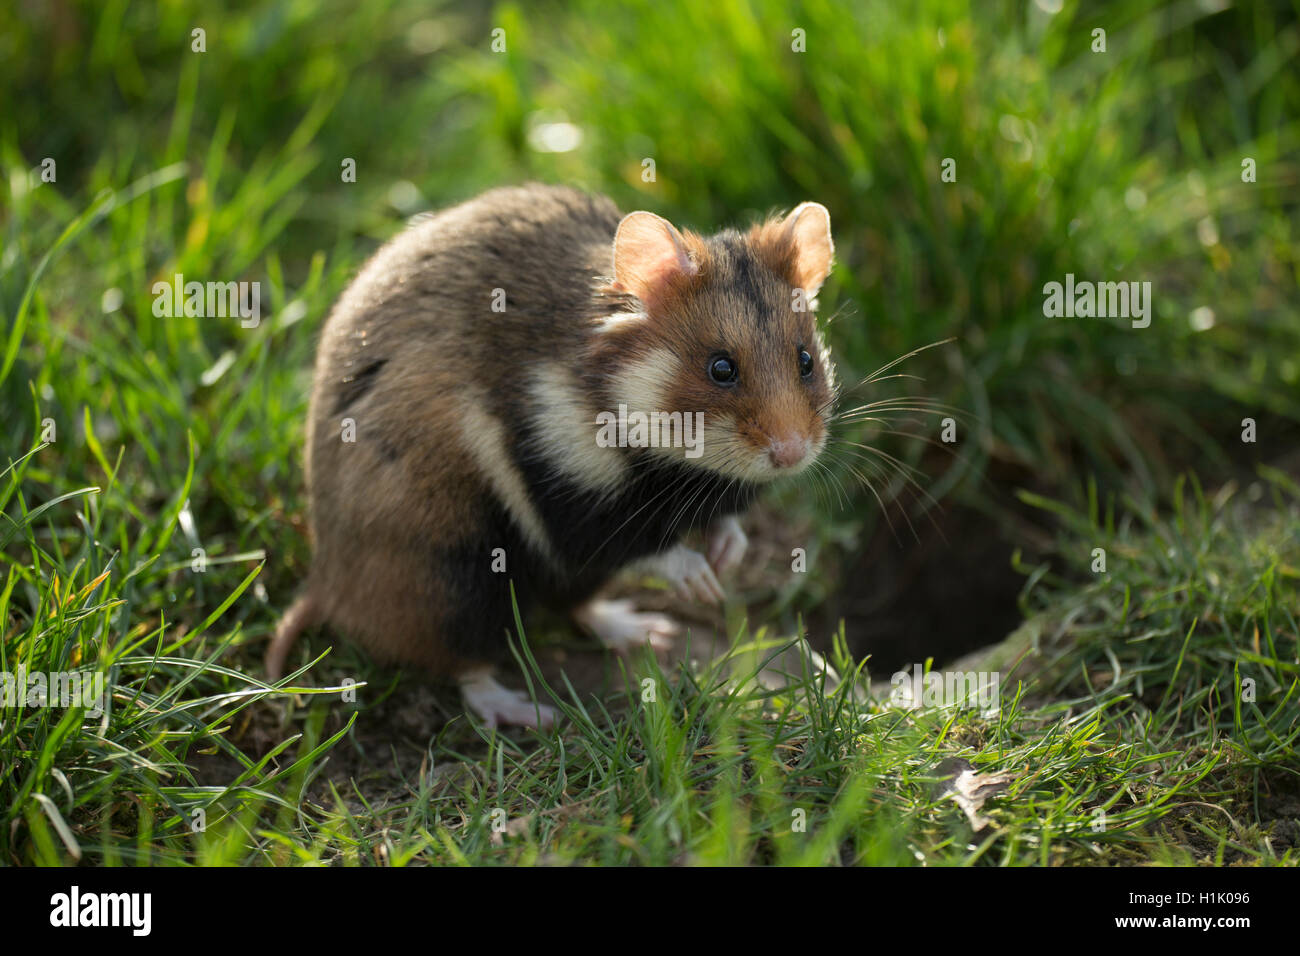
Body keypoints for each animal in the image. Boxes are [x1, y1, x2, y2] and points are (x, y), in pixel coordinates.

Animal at [266, 184, 837, 728]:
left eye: (806, 360)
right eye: (721, 368)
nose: (791, 454)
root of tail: (324, 580)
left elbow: (721, 525)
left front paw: (727, 557)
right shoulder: (564, 494)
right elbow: (640, 545)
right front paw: (701, 581)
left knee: (576, 605)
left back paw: (646, 631)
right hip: (455, 577)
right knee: (461, 664)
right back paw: (527, 711)